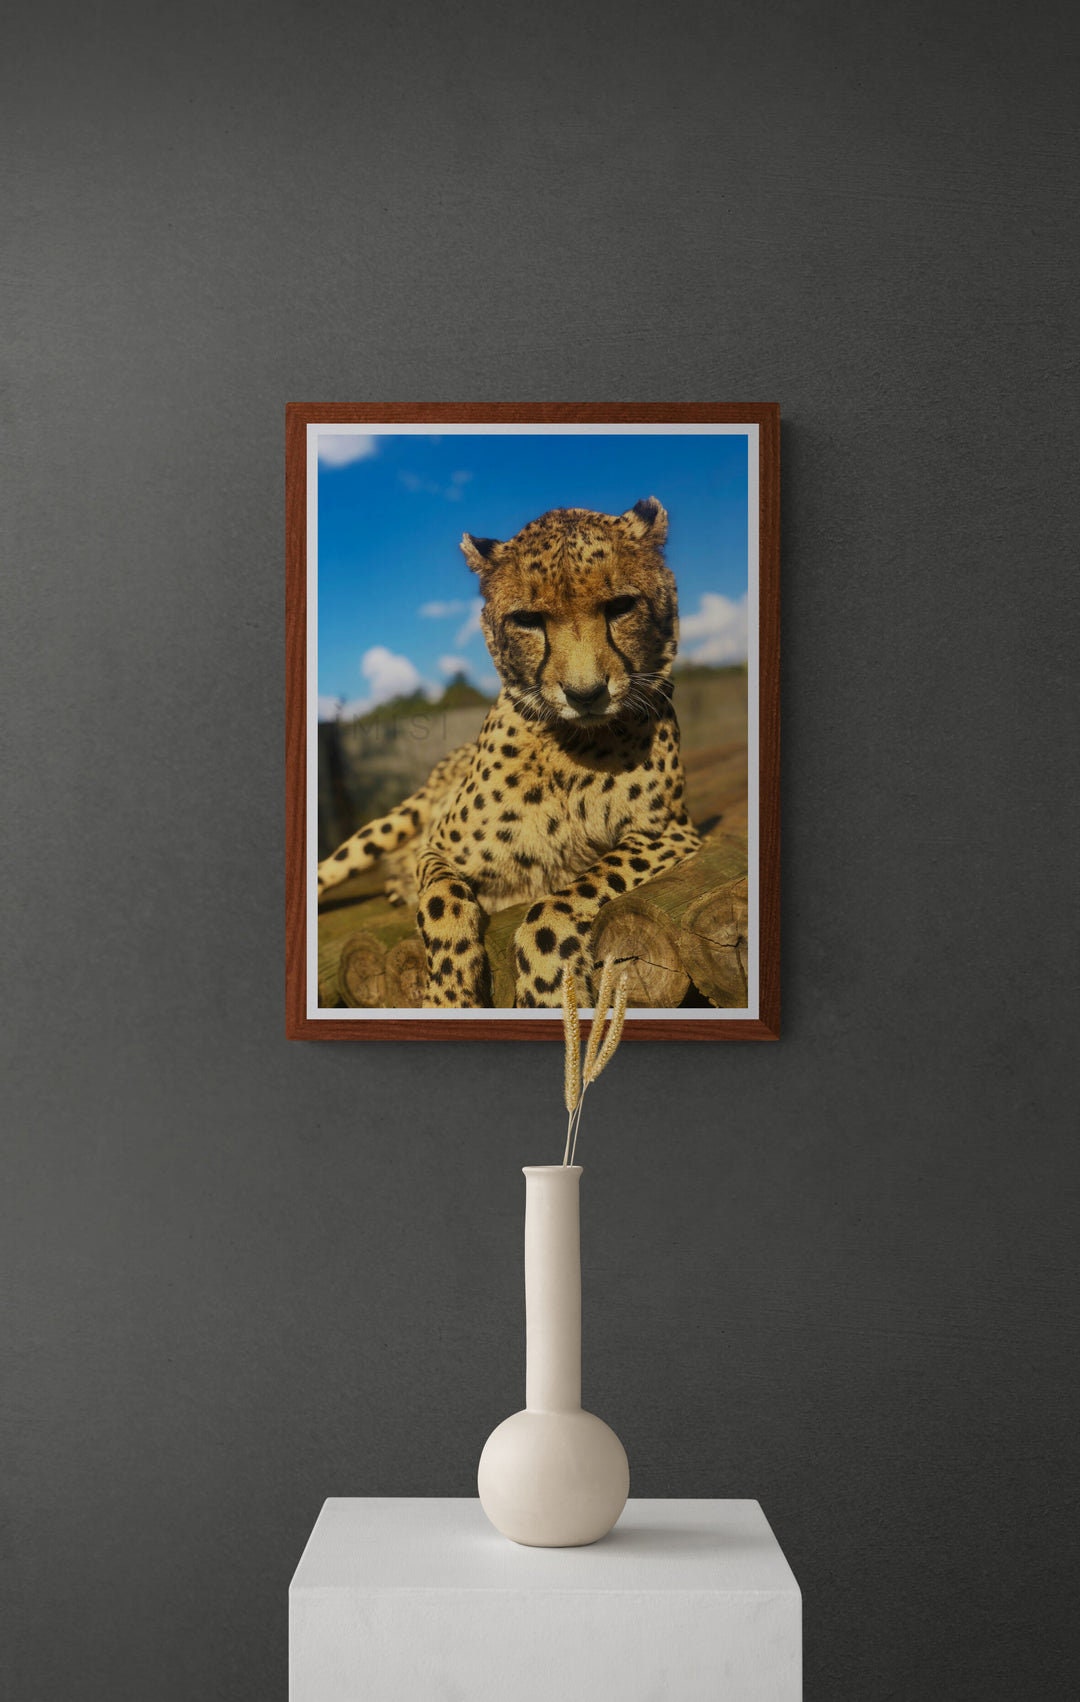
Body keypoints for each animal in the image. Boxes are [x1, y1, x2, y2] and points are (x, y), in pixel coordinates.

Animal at [316, 497, 700, 1007]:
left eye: (620, 606)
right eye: (528, 620)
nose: (585, 693)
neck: (572, 745)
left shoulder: (670, 833)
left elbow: (567, 896)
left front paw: (548, 988)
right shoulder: (437, 847)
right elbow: (441, 898)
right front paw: (450, 995)